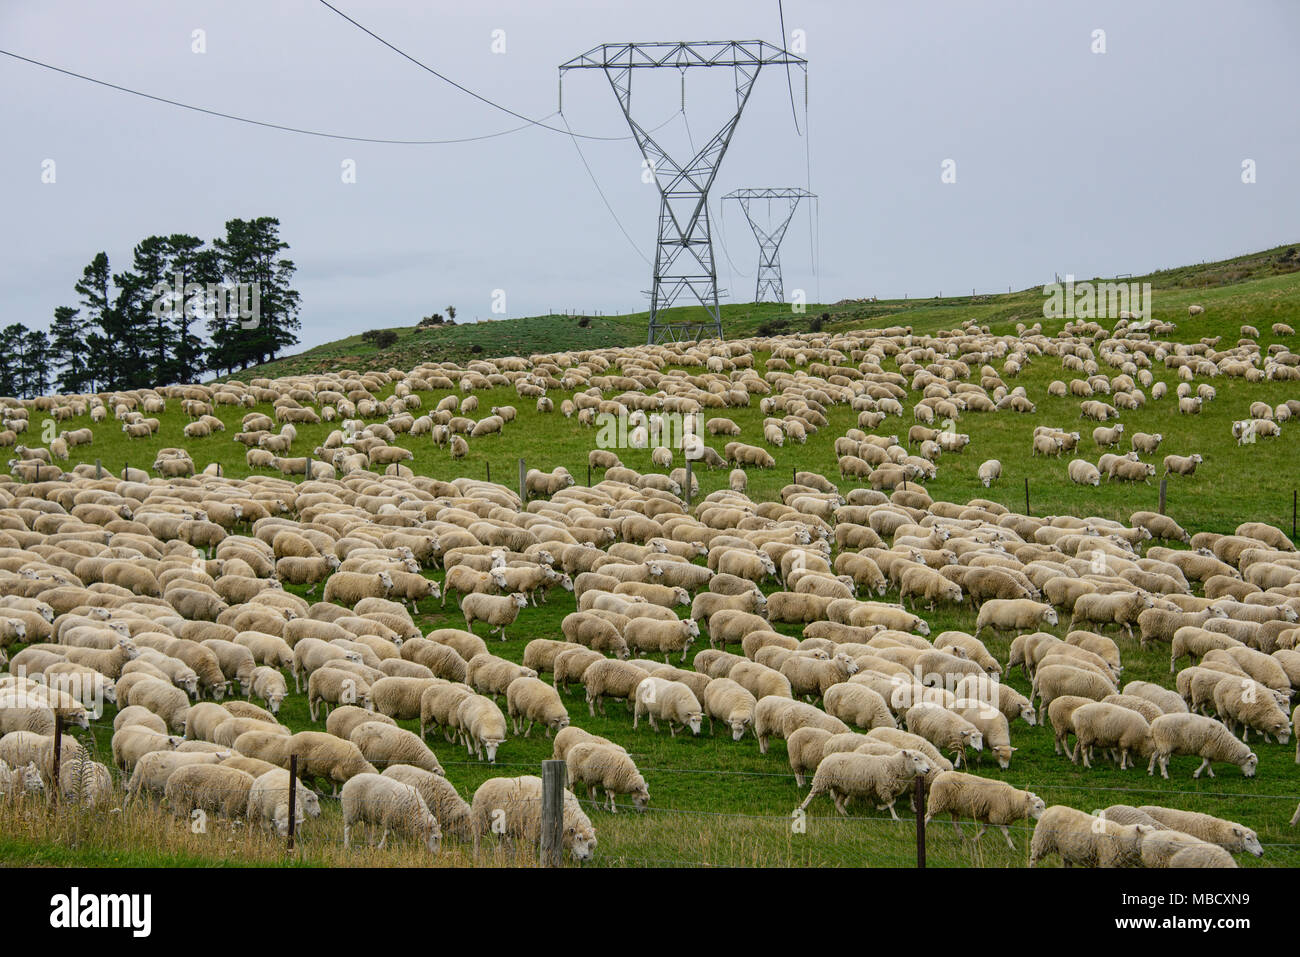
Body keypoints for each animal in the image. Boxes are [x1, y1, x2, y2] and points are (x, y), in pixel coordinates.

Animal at [795, 749, 932, 820]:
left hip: (842, 787)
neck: (893, 766)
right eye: (916, 759)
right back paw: (802, 807)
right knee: (812, 793)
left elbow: (893, 802)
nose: (928, 769)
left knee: (838, 803)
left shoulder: (890, 789)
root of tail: (827, 757)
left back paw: (845, 814)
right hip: (823, 779)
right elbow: (891, 804)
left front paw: (880, 807)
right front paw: (895, 817)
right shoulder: (884, 787)